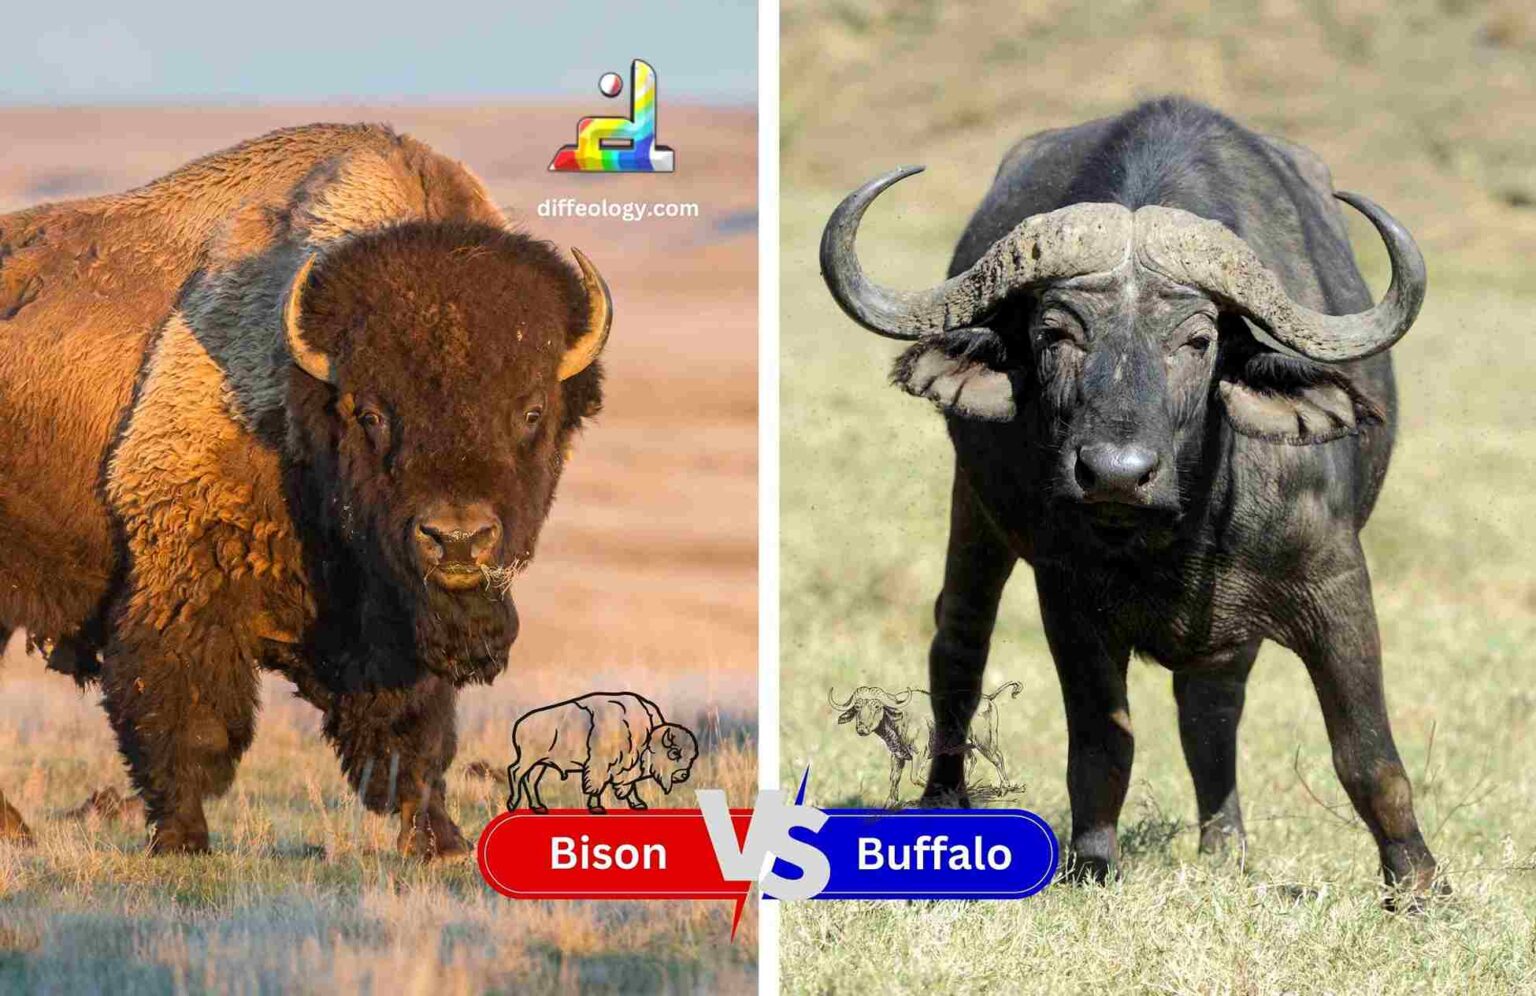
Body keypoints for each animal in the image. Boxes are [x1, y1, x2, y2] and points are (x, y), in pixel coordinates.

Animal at [0, 124, 611, 855]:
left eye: (532, 412)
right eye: (370, 413)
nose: (457, 539)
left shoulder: (394, 630)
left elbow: (415, 735)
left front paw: (440, 841)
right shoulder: (185, 583)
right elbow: (188, 721)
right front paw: (182, 841)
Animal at [820, 97, 1441, 899]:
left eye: (1198, 340)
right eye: (1055, 334)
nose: (1115, 473)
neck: (1172, 527)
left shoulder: (1334, 580)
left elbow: (1366, 753)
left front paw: (1420, 885)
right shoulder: (1069, 599)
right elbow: (1101, 745)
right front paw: (1090, 864)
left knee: (1211, 707)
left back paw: (1224, 846)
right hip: (974, 513)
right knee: (958, 642)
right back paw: (942, 805)